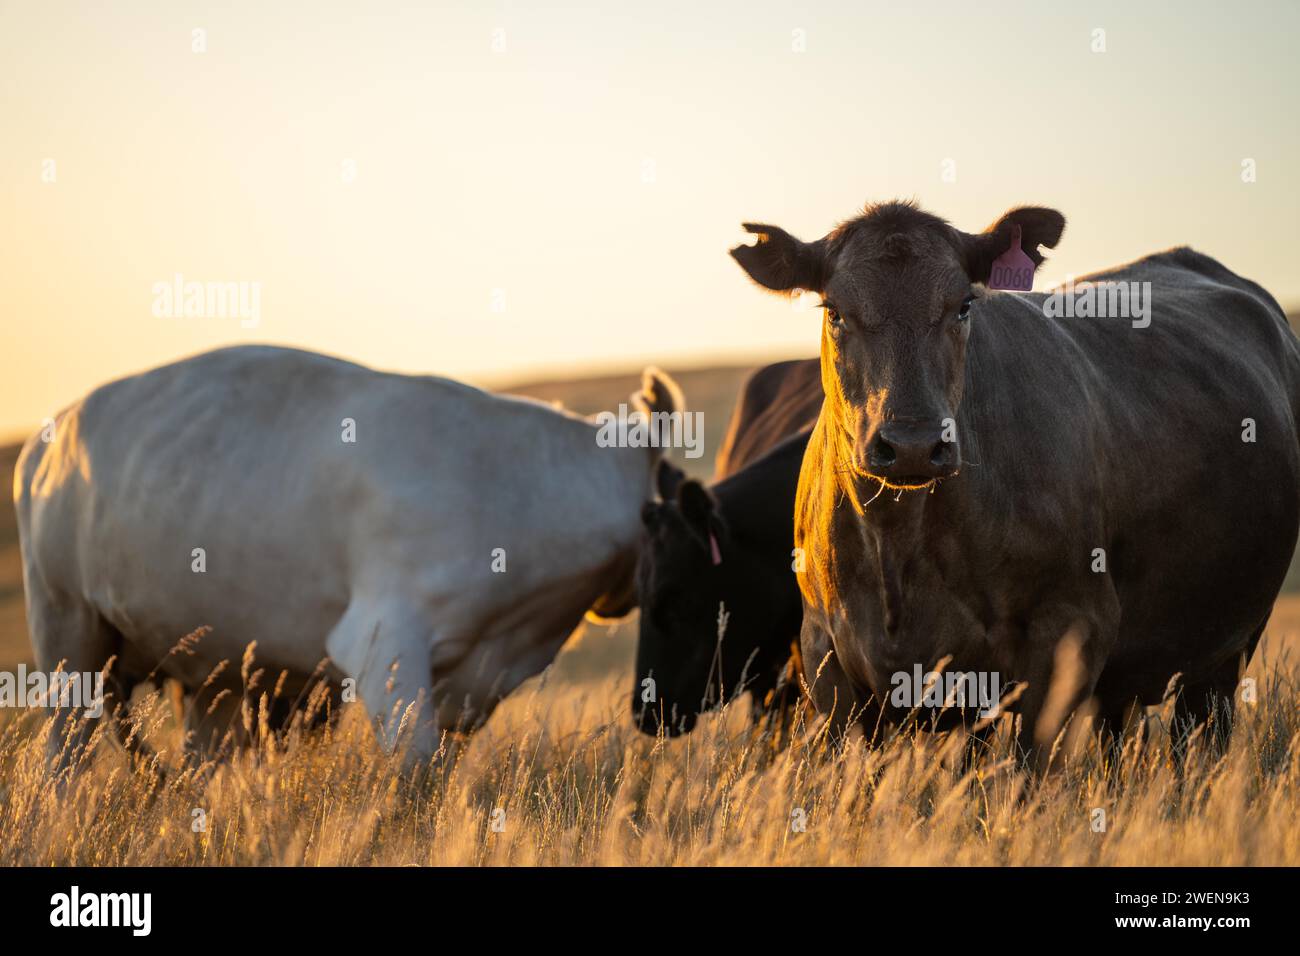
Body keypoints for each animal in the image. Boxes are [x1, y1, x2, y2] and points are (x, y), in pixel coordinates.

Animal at [14, 345, 682, 774]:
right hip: (67, 631)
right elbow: (416, 773)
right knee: (63, 758)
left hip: (212, 674)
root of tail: (49, 436)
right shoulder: (384, 641)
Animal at [729, 199, 1300, 769]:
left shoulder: (1071, 630)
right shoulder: (826, 657)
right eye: (834, 312)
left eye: (963, 305)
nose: (913, 443)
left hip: (1226, 649)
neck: (898, 544)